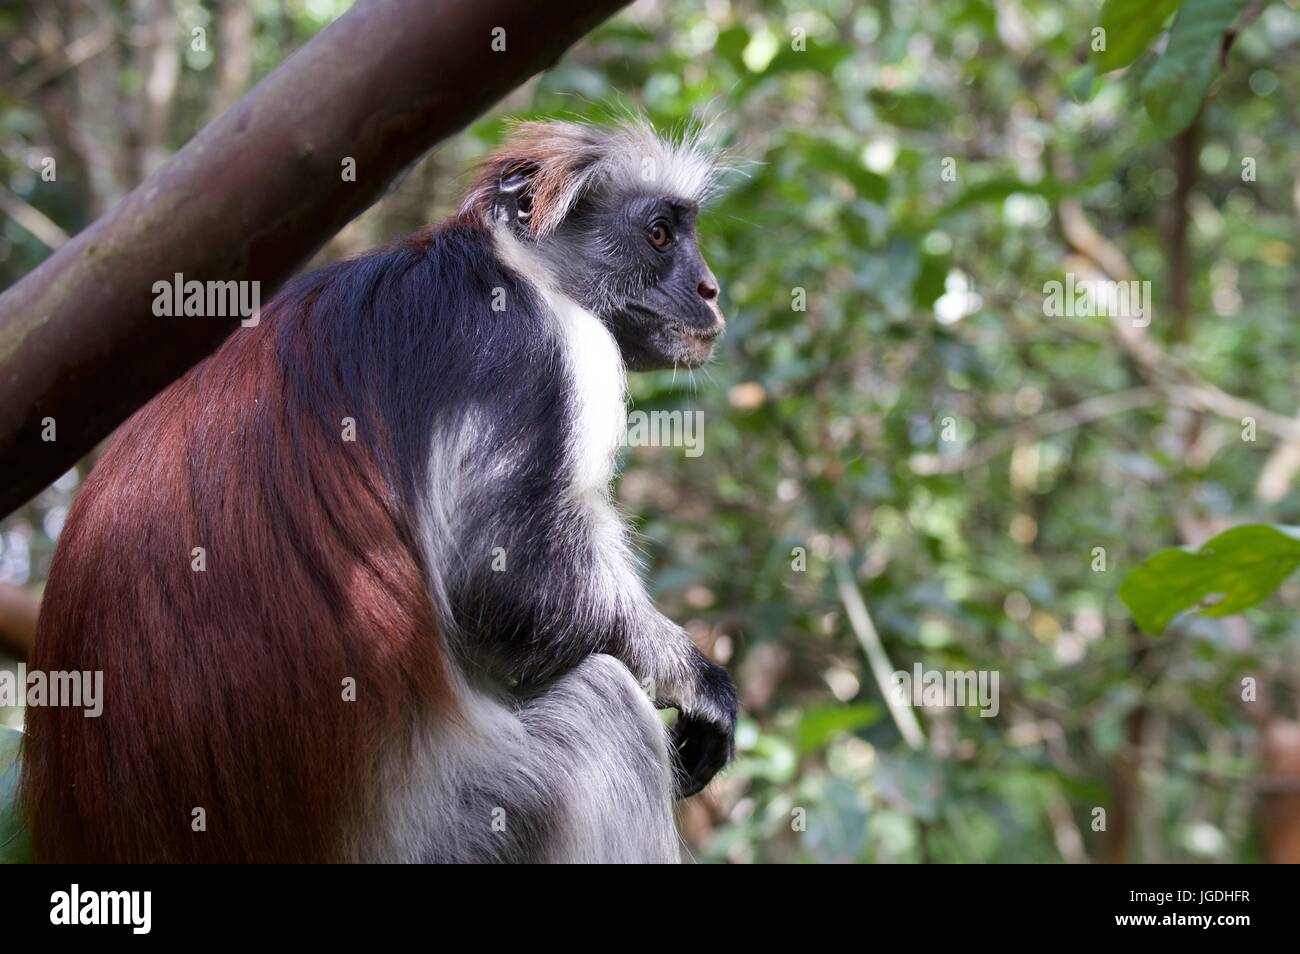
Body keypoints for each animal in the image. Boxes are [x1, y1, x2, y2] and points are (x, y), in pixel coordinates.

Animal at [21, 119, 737, 863]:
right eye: (660, 235)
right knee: (607, 710)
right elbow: (502, 581)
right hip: (455, 820)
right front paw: (697, 678)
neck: (507, 262)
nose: (710, 290)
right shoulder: (536, 345)